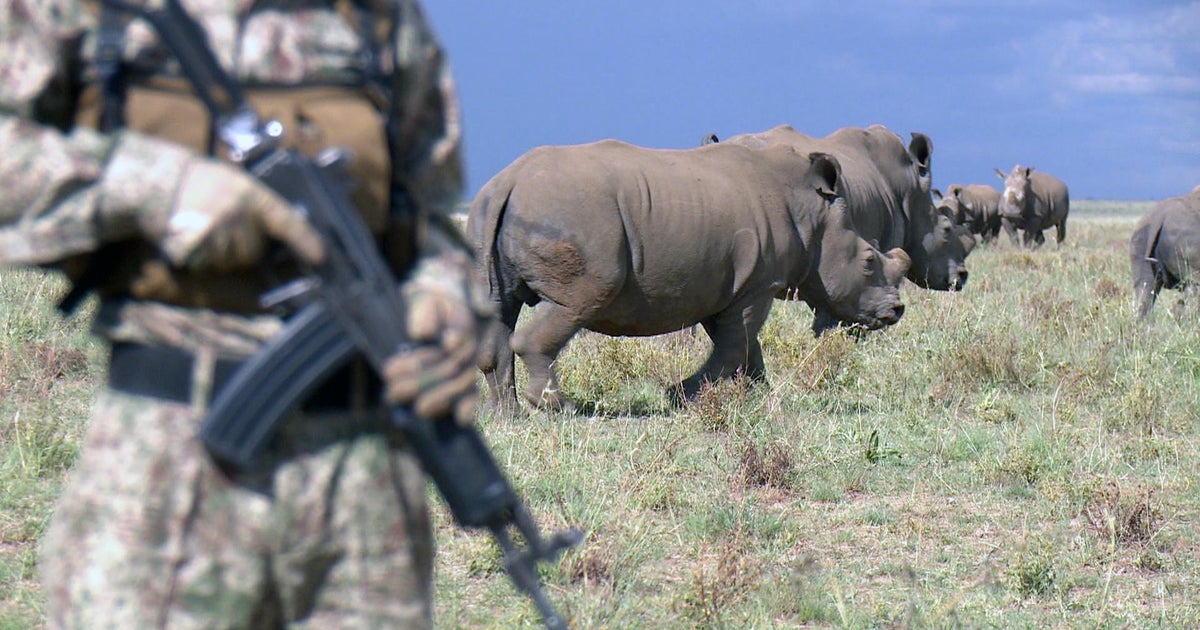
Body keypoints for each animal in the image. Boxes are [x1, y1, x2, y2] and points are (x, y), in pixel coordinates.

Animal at [467, 140, 911, 411]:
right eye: (868, 261)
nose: (896, 311)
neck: (813, 211)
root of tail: (507, 181)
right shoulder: (757, 284)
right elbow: (735, 345)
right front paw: (679, 397)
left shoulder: (730, 286)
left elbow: (743, 347)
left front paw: (758, 397)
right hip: (573, 219)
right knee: (576, 302)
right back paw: (558, 407)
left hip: (489, 217)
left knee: (499, 308)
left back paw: (506, 414)